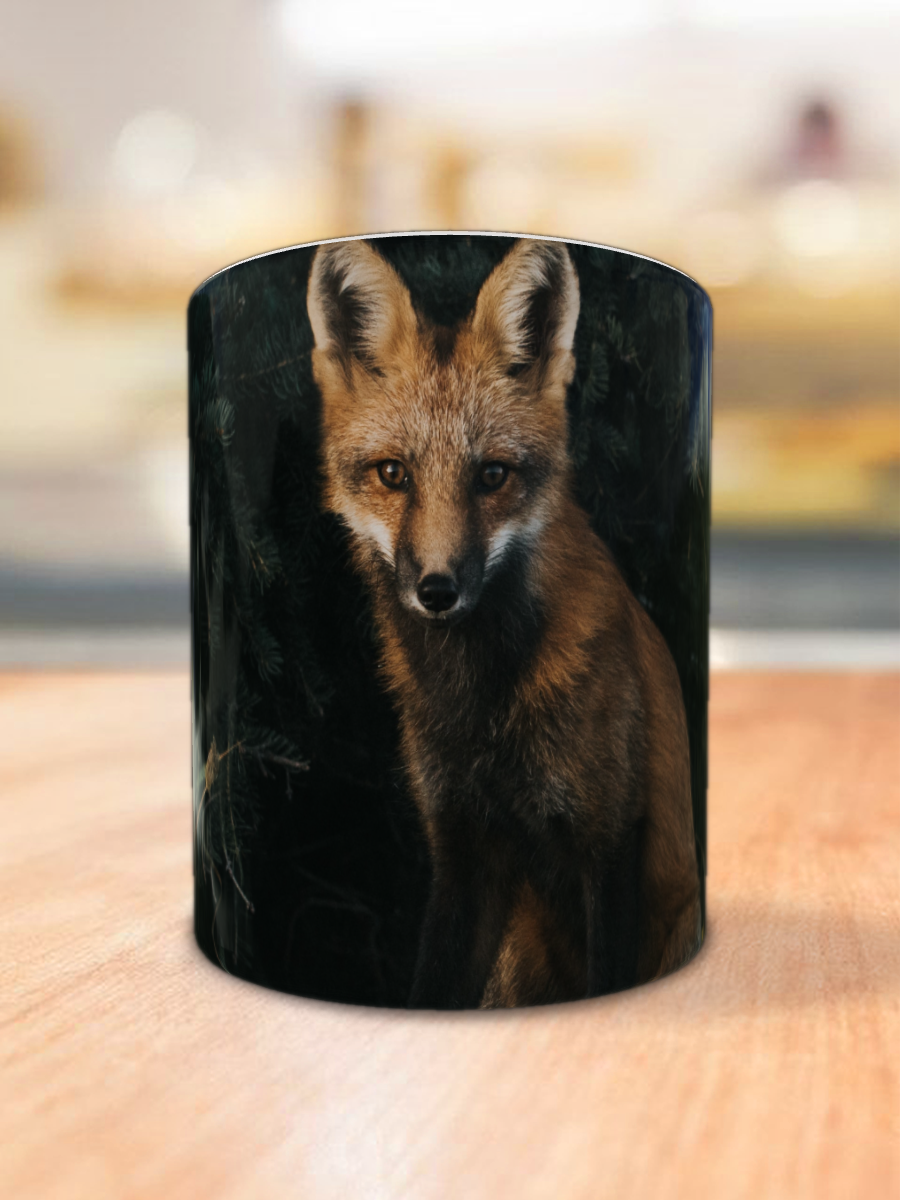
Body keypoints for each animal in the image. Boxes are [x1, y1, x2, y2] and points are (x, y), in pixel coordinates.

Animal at [306, 236, 702, 1009]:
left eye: (492, 476)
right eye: (393, 474)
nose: (436, 590)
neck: (483, 706)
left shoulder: (610, 840)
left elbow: (608, 971)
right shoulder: (463, 851)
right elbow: (431, 987)